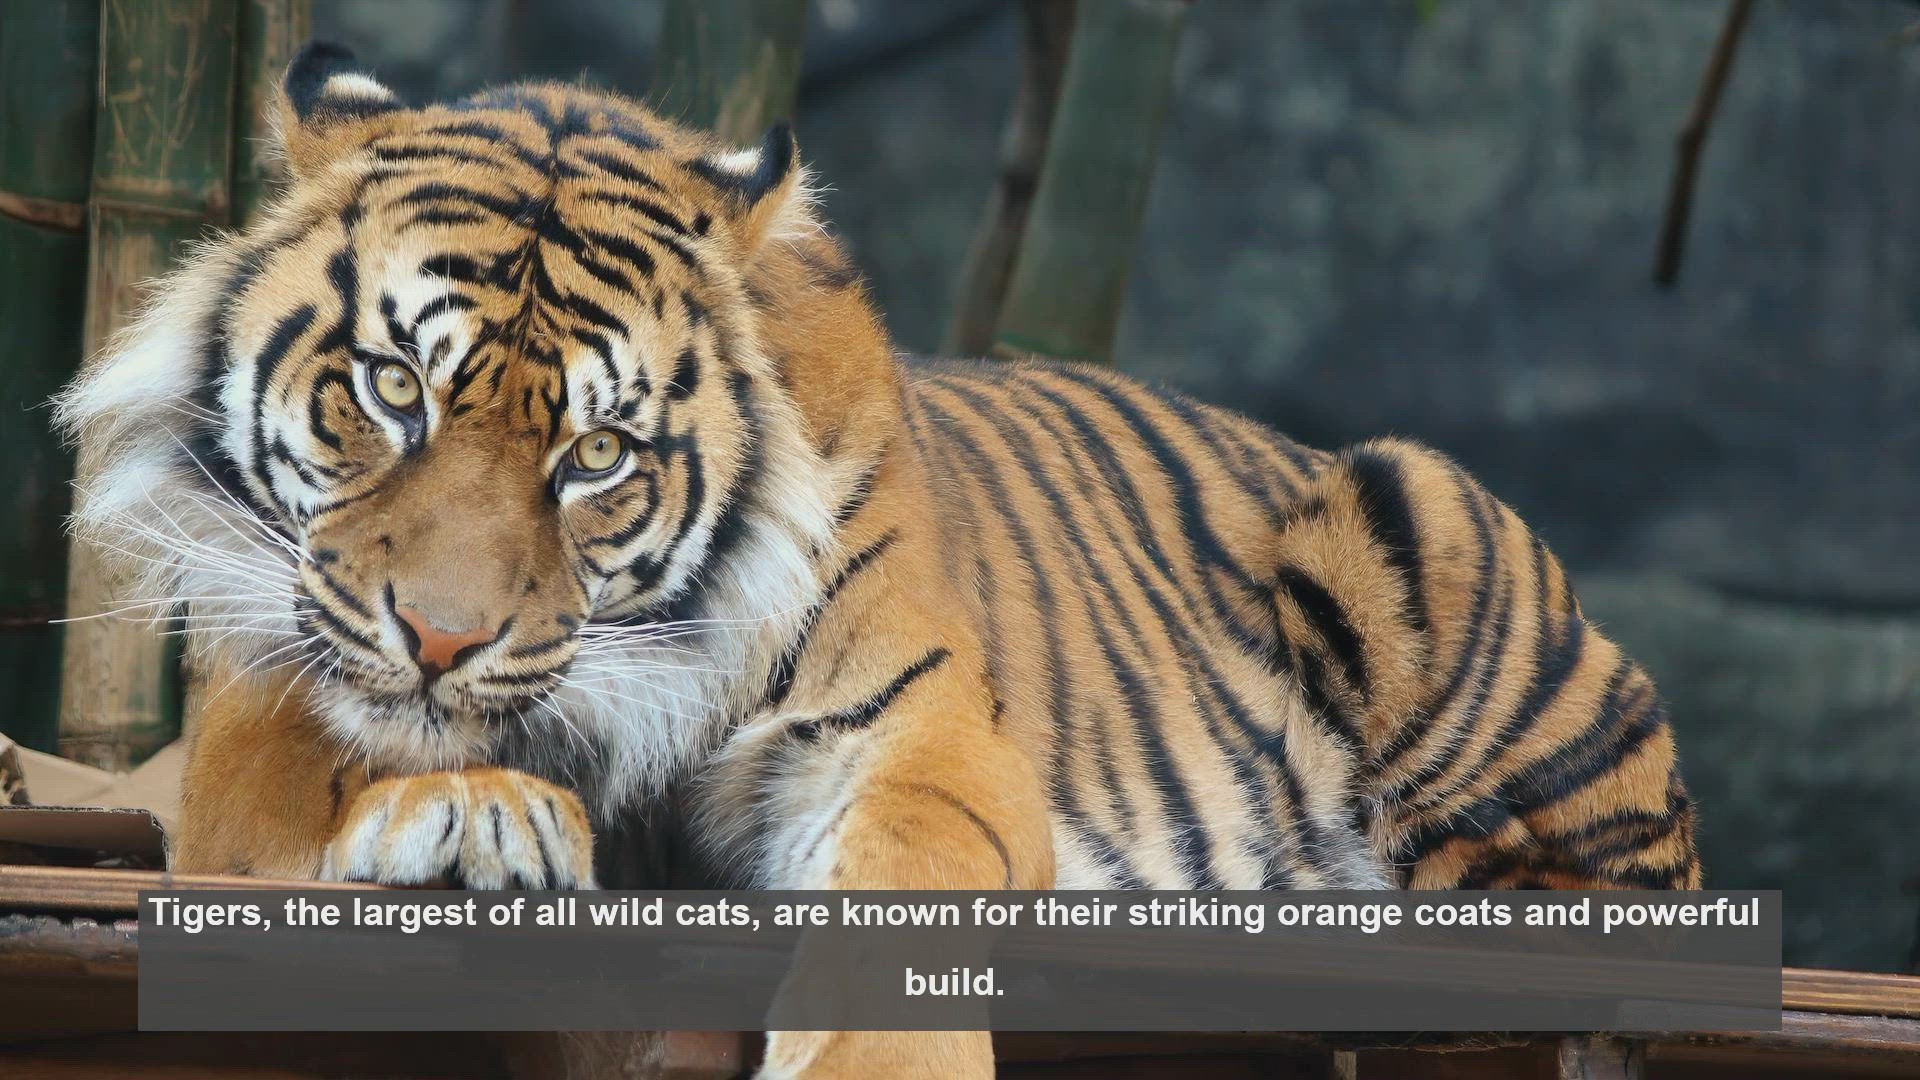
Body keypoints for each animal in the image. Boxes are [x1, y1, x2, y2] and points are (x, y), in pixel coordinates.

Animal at [53, 42, 1699, 1078]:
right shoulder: (255, 729)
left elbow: (901, 897)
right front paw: (467, 814)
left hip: (1417, 518)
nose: (441, 641)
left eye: (596, 457)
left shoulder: (912, 735)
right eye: (395, 389)